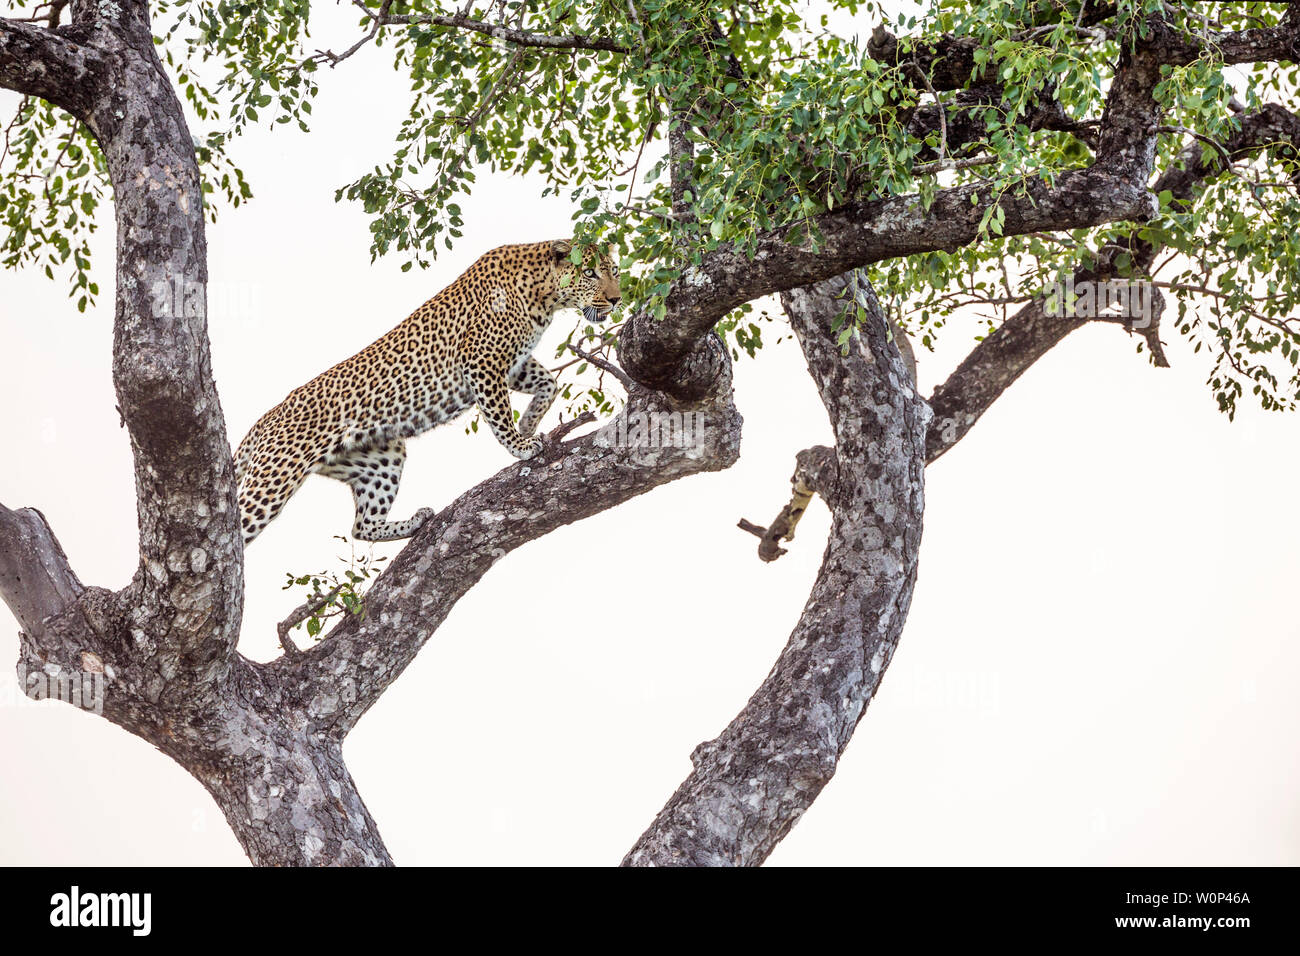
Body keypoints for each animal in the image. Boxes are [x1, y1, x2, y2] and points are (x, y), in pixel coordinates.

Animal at [233, 238, 620, 545]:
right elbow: (498, 413)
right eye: (590, 273)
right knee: (238, 525)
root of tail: (265, 419)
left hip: (381, 457)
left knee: (362, 526)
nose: (617, 300)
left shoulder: (512, 362)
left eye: (614, 270)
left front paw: (528, 426)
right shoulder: (482, 360)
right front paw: (520, 446)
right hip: (275, 476)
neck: (545, 294)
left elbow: (548, 383)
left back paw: (414, 521)